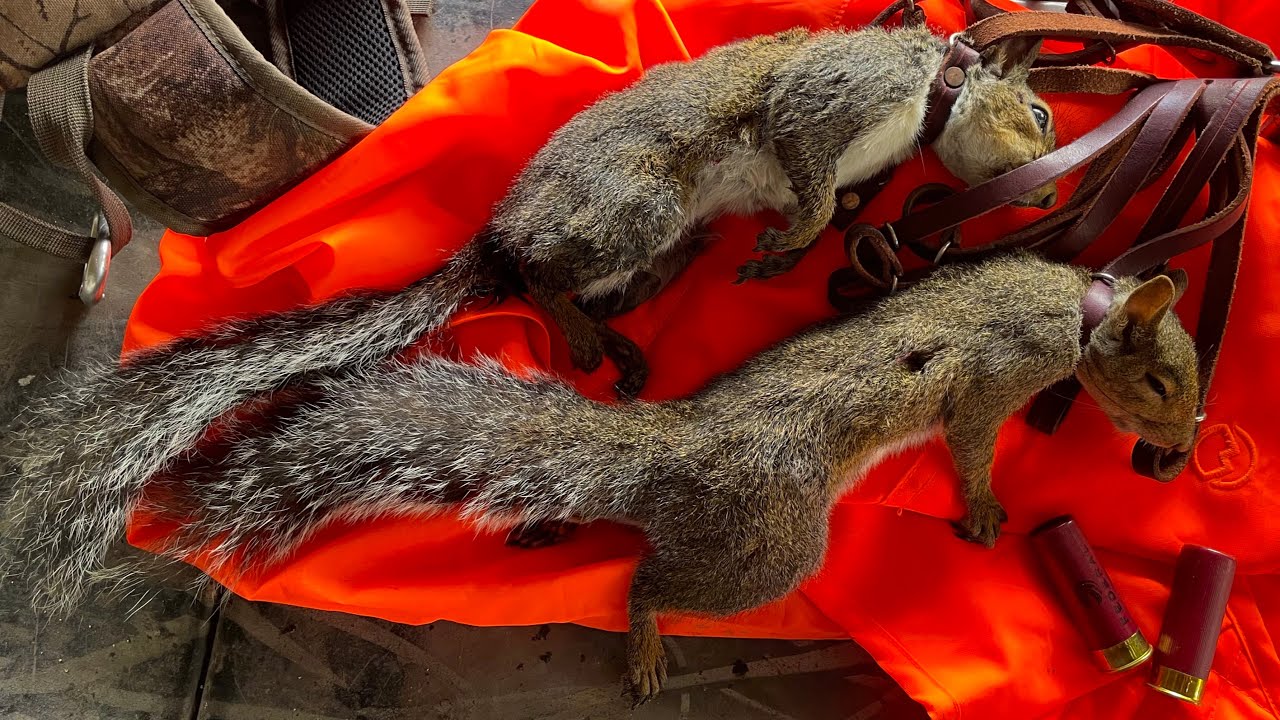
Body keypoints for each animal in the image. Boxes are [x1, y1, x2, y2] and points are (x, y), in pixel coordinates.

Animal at [0, 25, 1057, 615]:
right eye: (1044, 115)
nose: (1044, 196)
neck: (932, 97)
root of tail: (499, 233)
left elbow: (835, 200)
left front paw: (802, 245)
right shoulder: (844, 87)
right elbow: (805, 153)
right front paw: (798, 230)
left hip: (648, 246)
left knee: (577, 285)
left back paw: (619, 339)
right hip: (637, 203)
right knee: (541, 279)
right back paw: (579, 328)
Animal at [16, 252, 1197, 705]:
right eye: (1159, 381)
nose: (1181, 455)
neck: (1076, 306)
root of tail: (669, 448)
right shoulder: (988, 373)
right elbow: (971, 440)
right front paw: (988, 503)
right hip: (777, 543)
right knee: (650, 581)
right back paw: (643, 645)